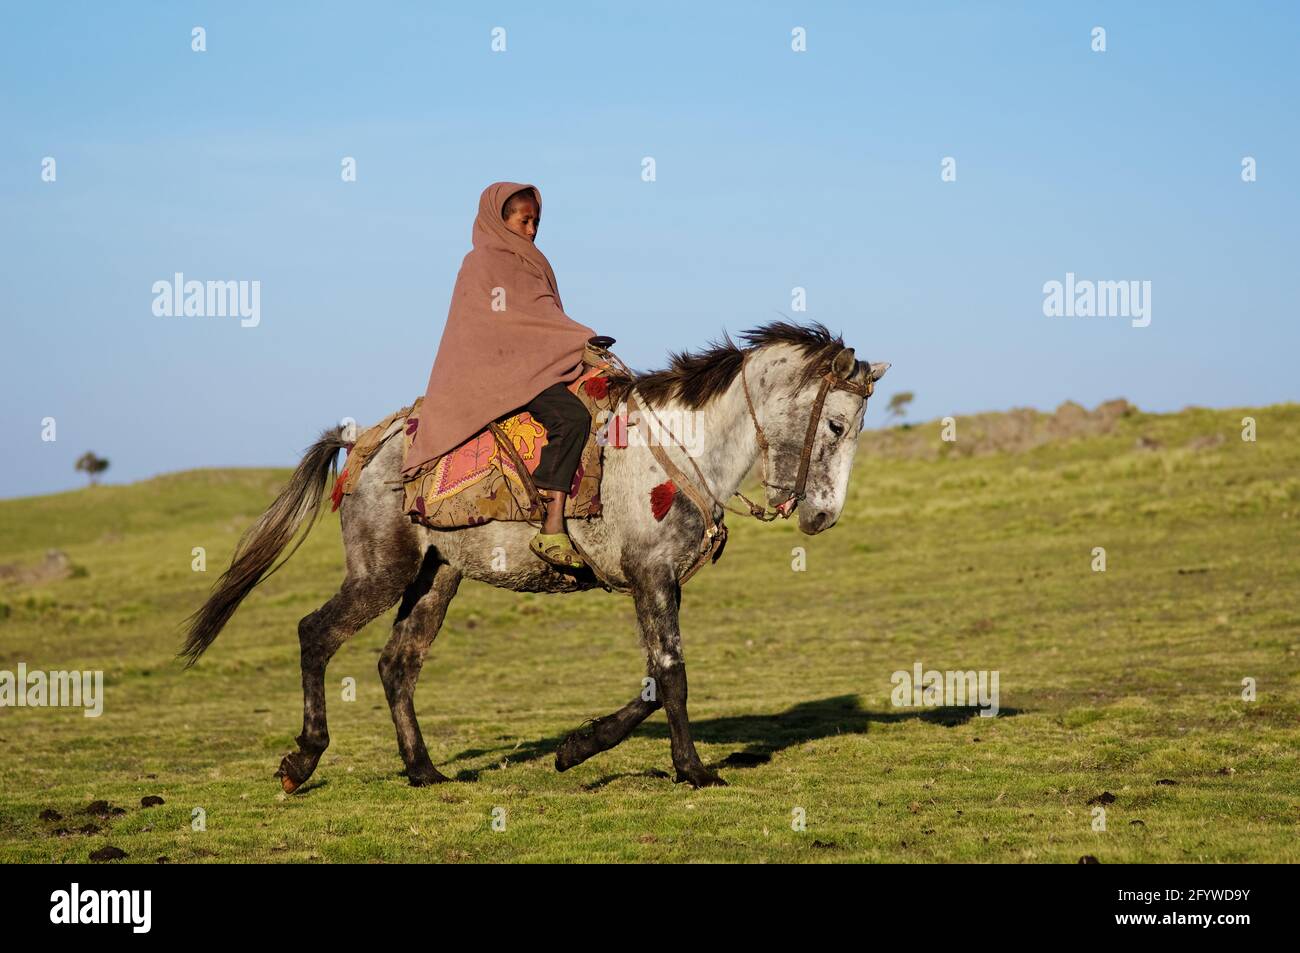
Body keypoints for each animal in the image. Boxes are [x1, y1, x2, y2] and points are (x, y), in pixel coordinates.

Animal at [180, 321, 888, 790]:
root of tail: (364, 442)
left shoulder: (659, 583)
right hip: (382, 571)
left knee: (396, 664)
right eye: (835, 425)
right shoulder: (651, 577)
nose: (822, 517)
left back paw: (424, 770)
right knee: (316, 634)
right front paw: (691, 770)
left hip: (436, 577)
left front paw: (577, 747)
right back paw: (302, 759)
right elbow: (673, 676)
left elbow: (654, 679)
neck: (683, 448)